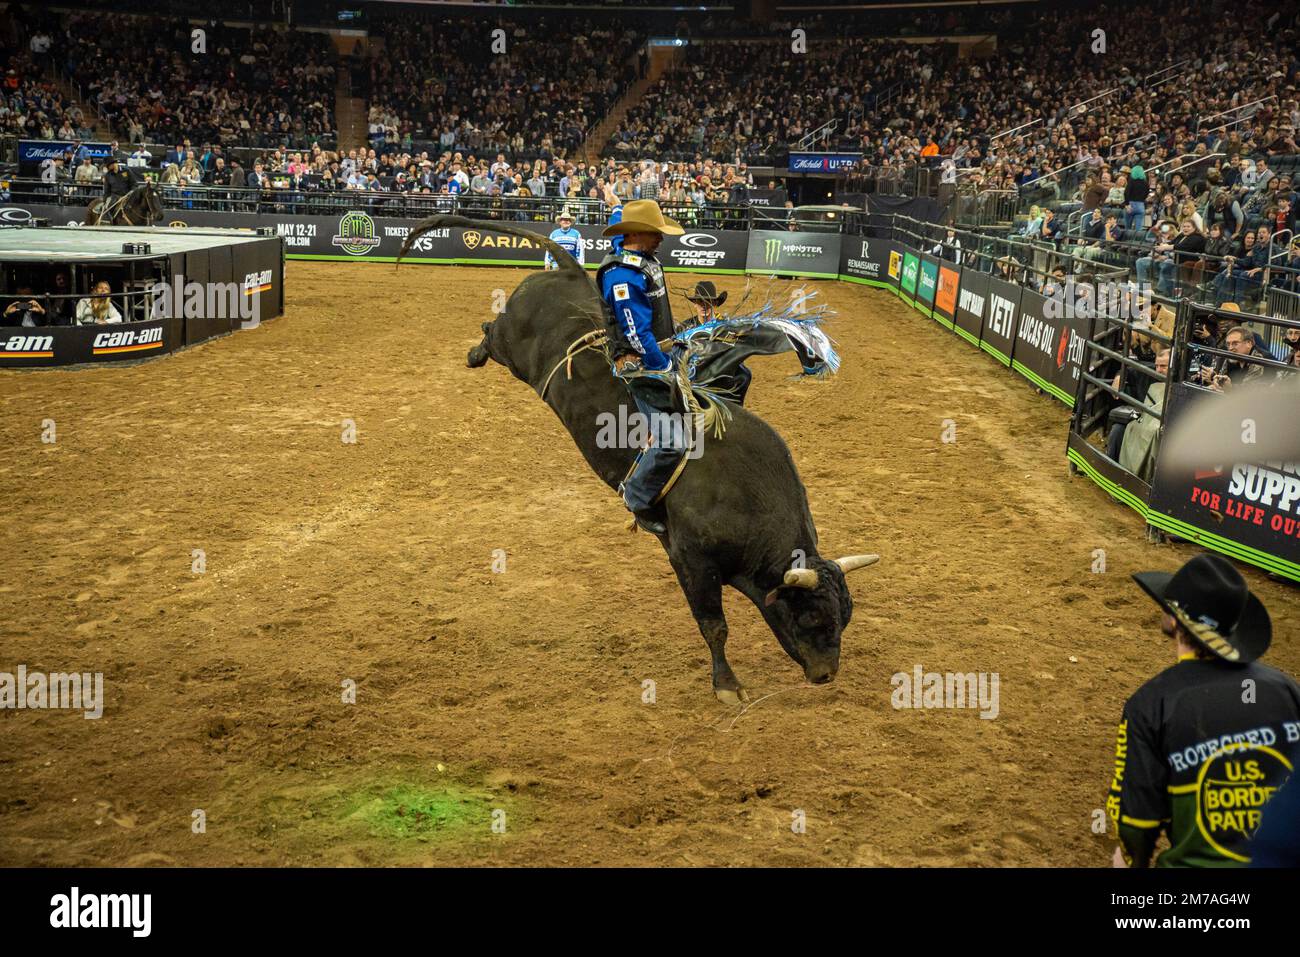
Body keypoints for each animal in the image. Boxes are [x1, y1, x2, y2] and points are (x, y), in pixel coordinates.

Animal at [400, 216, 879, 703]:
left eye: (846, 615)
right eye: (811, 616)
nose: (825, 674)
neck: (746, 499)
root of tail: (569, 271)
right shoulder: (690, 561)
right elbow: (715, 626)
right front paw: (726, 685)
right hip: (511, 342)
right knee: (489, 328)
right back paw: (473, 353)